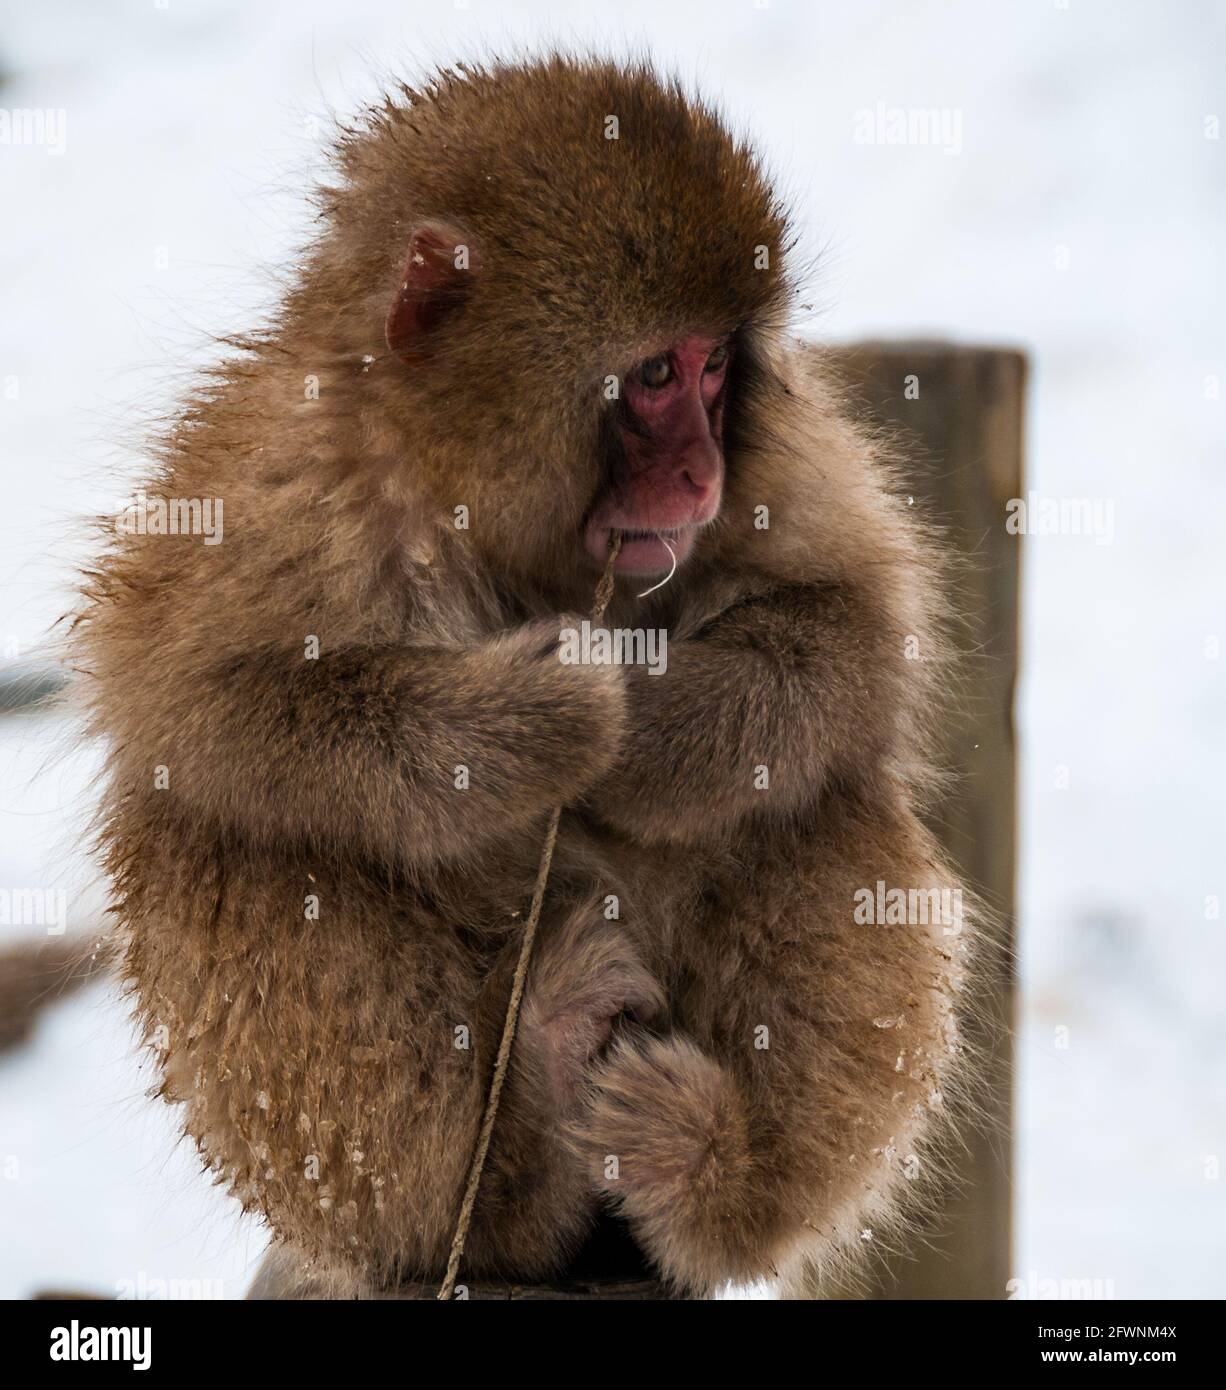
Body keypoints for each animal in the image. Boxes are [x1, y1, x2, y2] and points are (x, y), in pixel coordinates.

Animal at [73, 55, 968, 1298]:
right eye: (653, 374)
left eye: (713, 368)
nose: (698, 472)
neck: (487, 512)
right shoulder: (282, 470)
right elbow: (187, 705)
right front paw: (549, 715)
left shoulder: (785, 467)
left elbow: (855, 626)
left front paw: (651, 723)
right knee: (222, 835)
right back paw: (506, 1163)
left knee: (813, 796)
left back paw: (717, 1179)